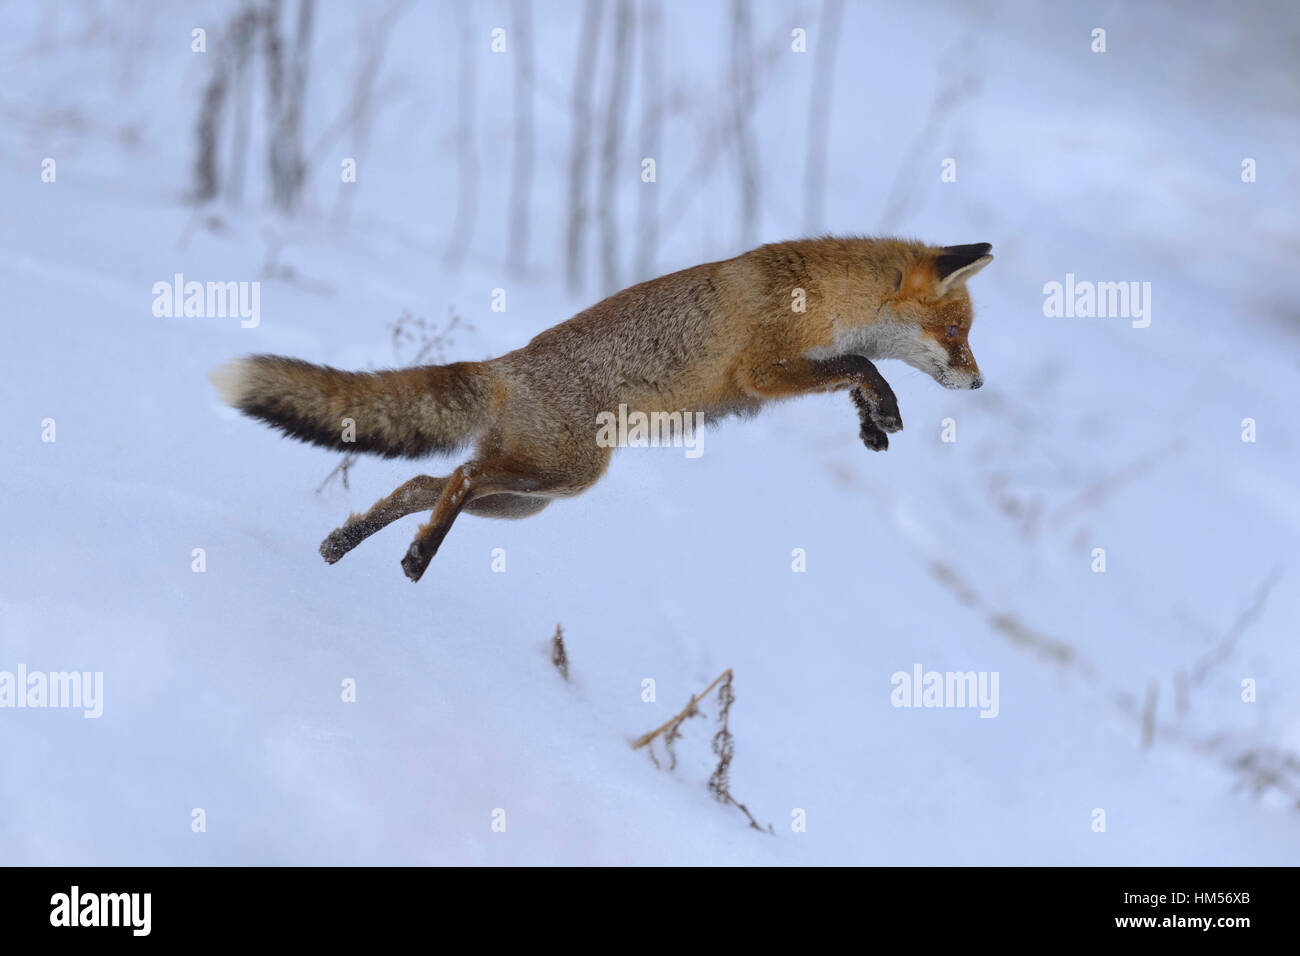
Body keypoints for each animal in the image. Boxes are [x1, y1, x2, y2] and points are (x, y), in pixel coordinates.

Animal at [210, 237, 992, 582]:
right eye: (958, 334)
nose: (980, 385)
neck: (824, 293)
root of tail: (508, 364)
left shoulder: (789, 372)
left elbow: (853, 373)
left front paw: (873, 424)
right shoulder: (764, 371)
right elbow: (859, 365)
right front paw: (882, 404)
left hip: (531, 498)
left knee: (424, 483)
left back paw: (351, 543)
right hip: (556, 477)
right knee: (458, 478)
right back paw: (418, 557)